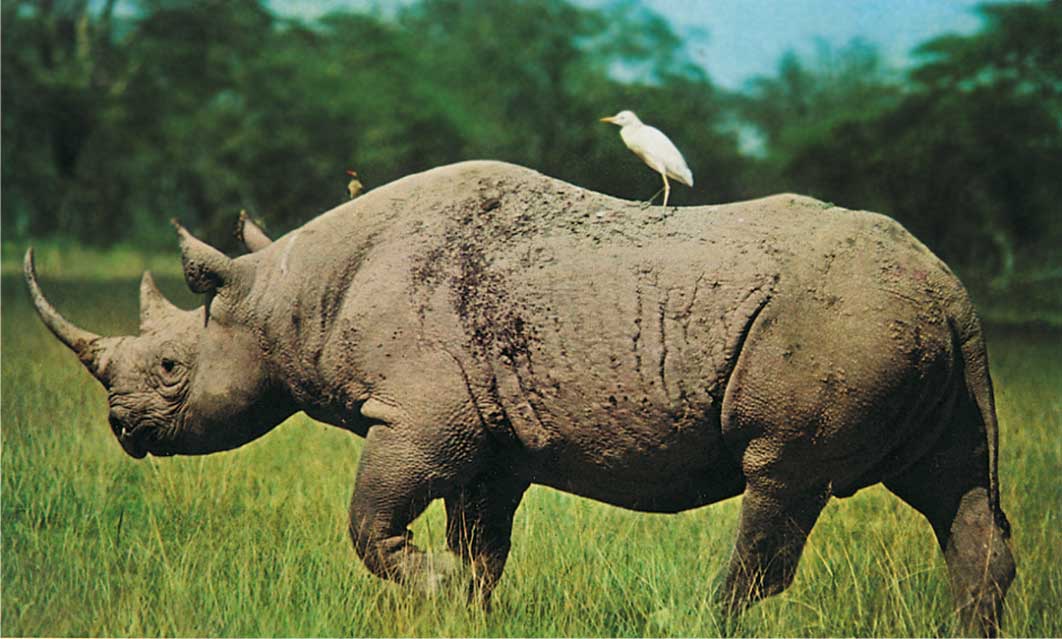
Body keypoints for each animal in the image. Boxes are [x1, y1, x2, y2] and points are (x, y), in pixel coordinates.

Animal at [25, 161, 1014, 635]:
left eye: (169, 369)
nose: (122, 428)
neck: (283, 293)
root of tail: (949, 288)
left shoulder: (421, 418)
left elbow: (370, 522)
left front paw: (430, 589)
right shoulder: (488, 440)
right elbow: (484, 543)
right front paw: (466, 604)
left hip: (837, 327)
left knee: (781, 480)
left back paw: (696, 620)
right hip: (914, 338)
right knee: (955, 489)